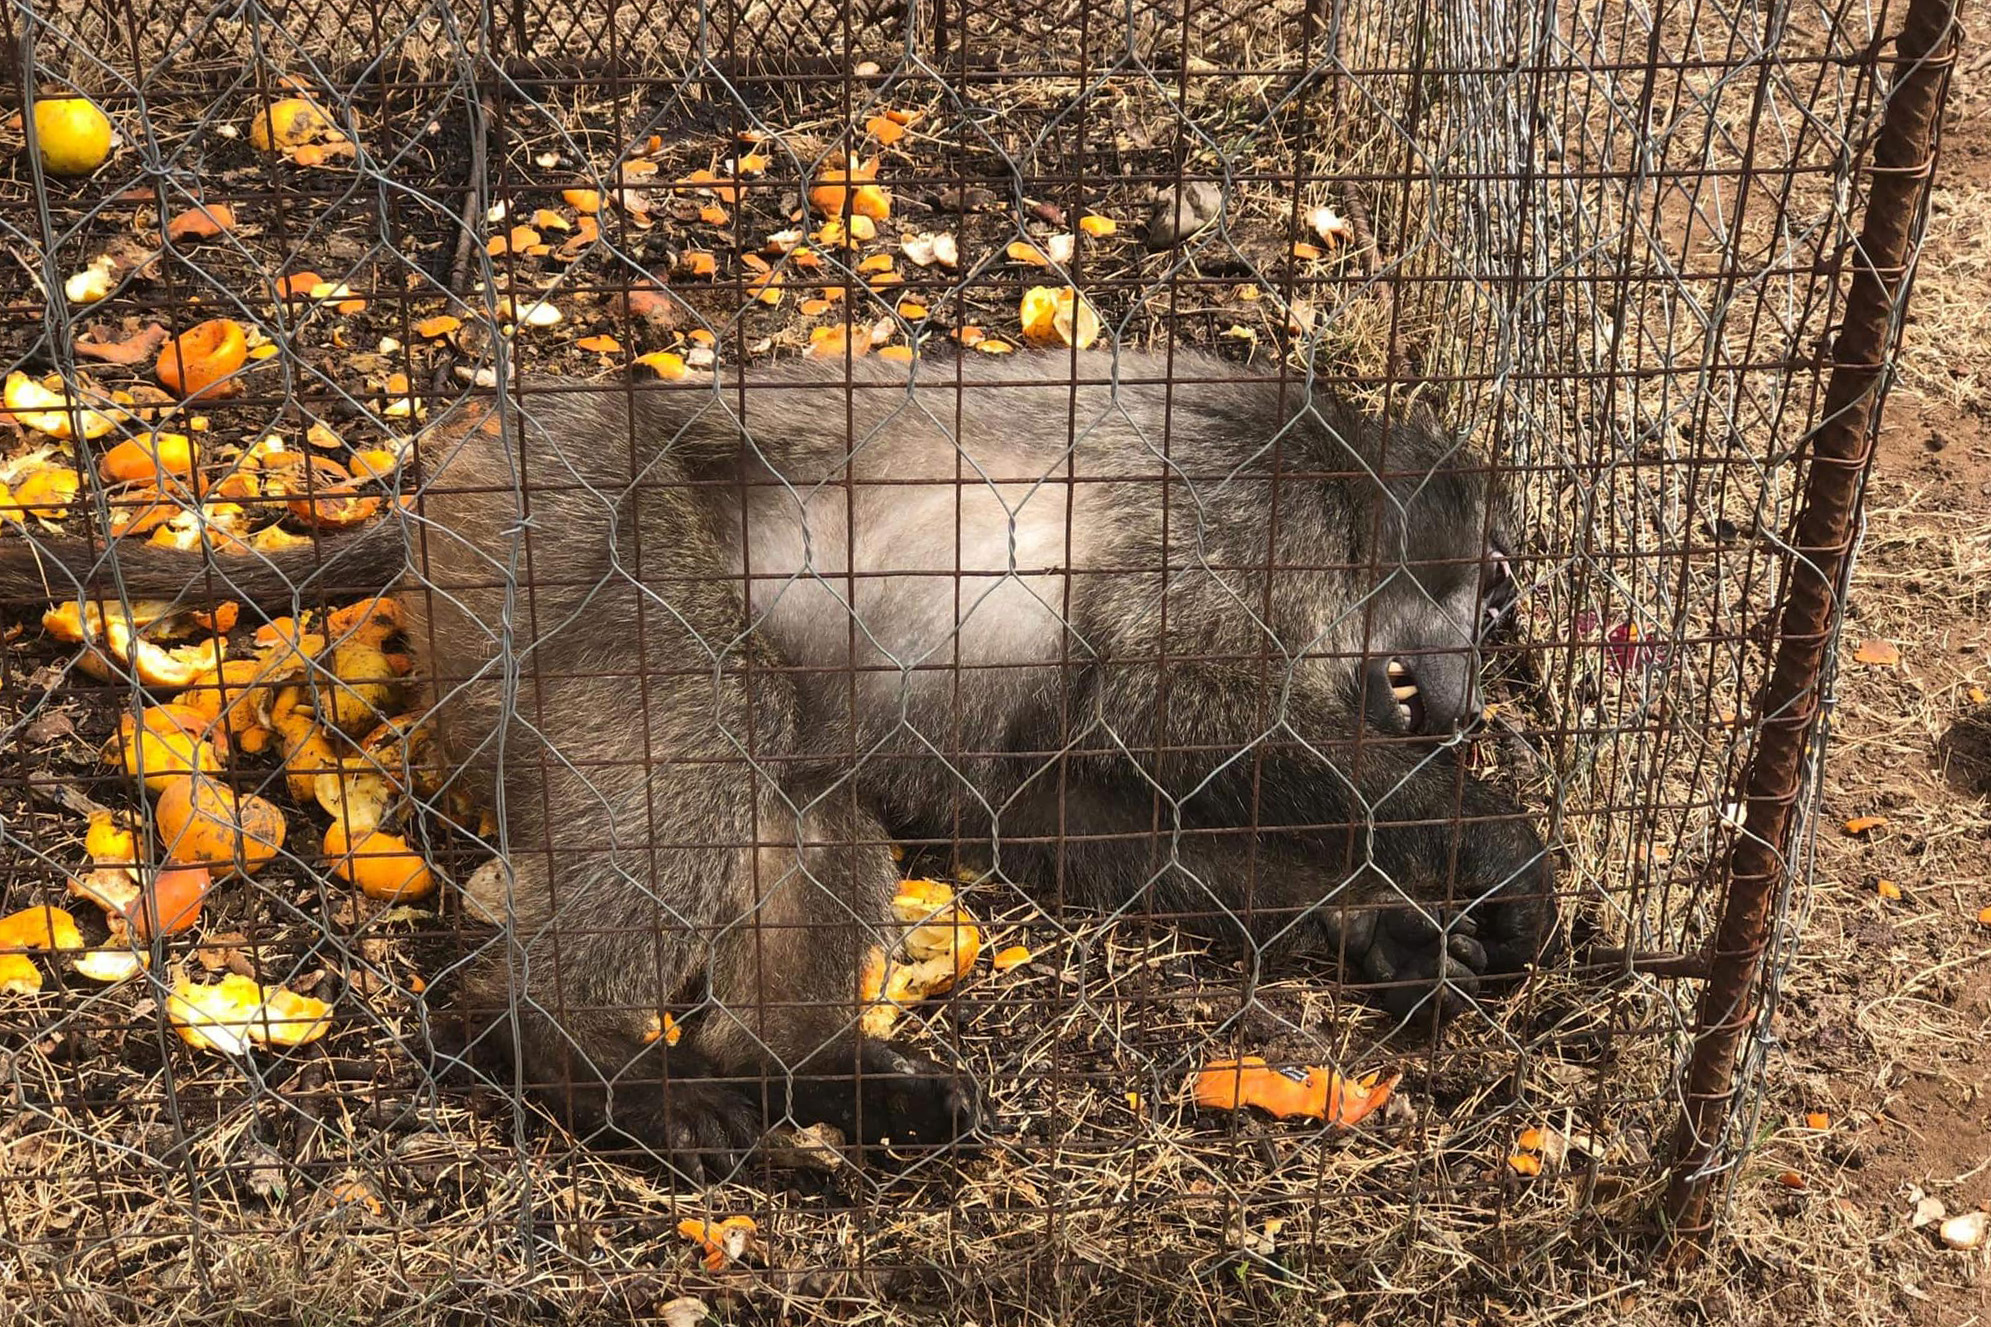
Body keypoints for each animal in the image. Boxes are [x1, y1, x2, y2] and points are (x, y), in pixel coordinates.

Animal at [0, 348, 1555, 1178]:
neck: (1334, 492)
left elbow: (1039, 795)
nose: (1461, 700)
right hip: (589, 557)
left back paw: (796, 1063)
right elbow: (1175, 725)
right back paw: (558, 1044)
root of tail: (469, 473)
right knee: (704, 760)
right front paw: (1485, 841)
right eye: (1485, 600)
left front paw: (1376, 926)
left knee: (803, 801)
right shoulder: (1238, 535)